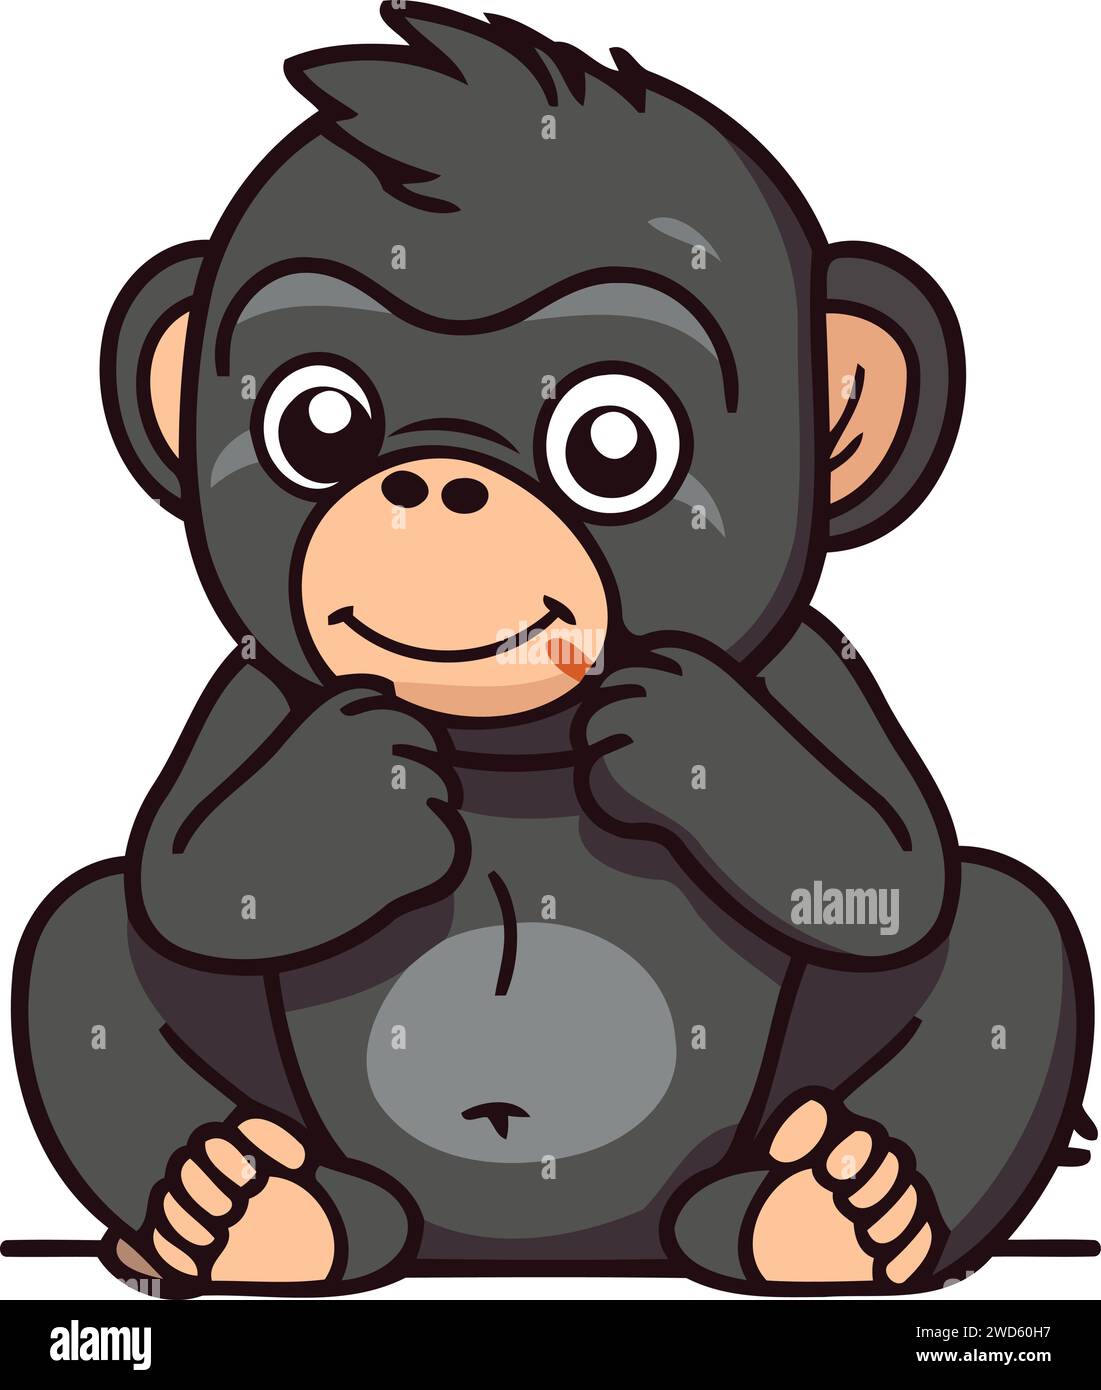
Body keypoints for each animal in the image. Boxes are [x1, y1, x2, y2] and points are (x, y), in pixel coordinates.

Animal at [12, 3, 1092, 1296]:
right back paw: (246, 1207)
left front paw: (685, 734)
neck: (512, 744)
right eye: (317, 423)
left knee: (1010, 924)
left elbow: (895, 874)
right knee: (81, 931)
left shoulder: (815, 663)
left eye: (614, 443)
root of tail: (546, 1249)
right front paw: (358, 783)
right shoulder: (249, 683)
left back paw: (833, 1205)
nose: (433, 483)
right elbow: (182, 878)